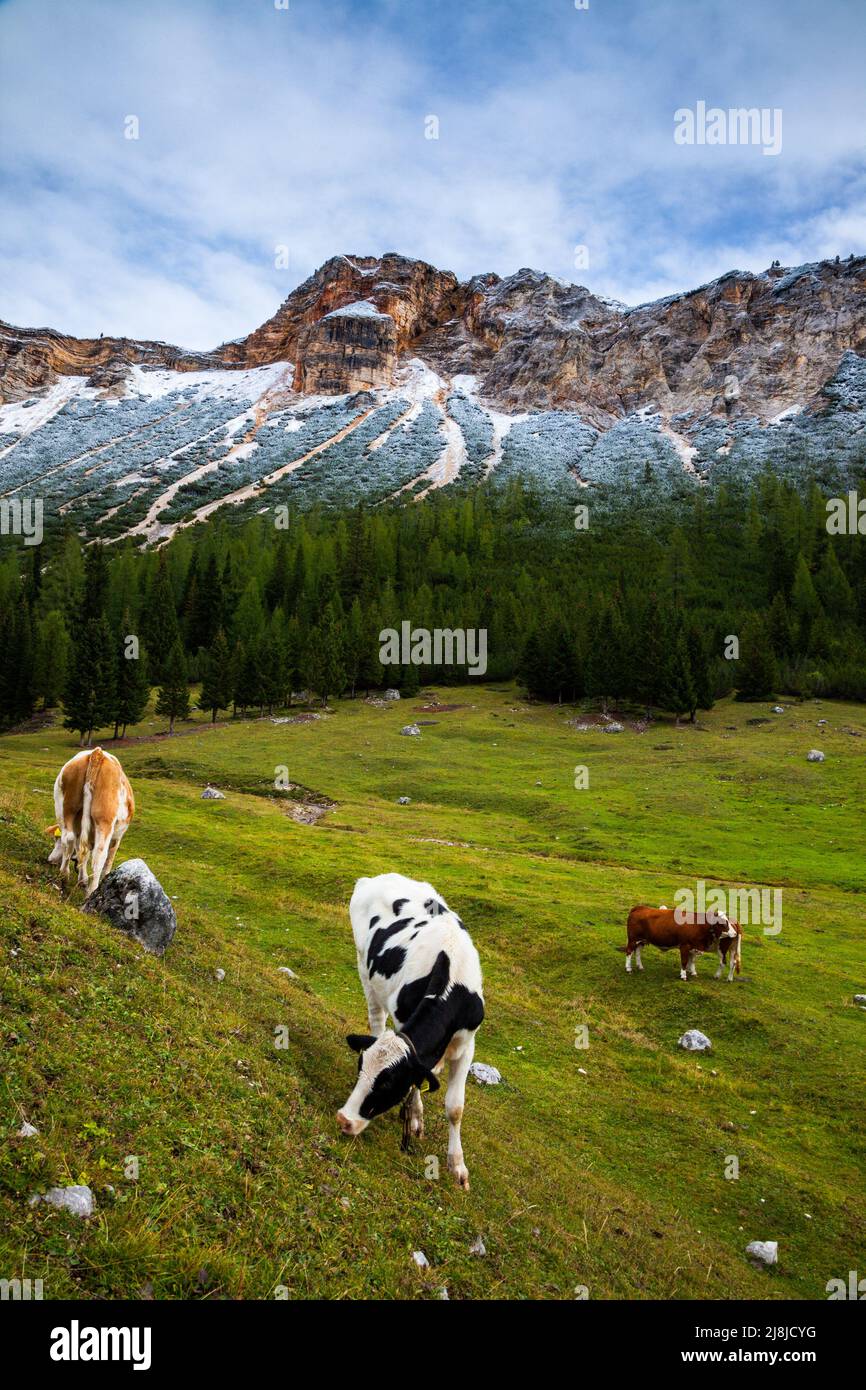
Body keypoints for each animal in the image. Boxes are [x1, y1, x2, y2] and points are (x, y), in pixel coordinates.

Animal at [47, 748, 135, 897]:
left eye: (55, 839)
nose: (50, 860)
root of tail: (97, 753)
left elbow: (81, 852)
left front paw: (82, 880)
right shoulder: (116, 838)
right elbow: (108, 861)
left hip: (65, 808)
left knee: (69, 839)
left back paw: (64, 875)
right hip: (105, 820)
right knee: (99, 855)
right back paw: (92, 892)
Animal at [337, 872, 484, 1190]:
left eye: (388, 1083)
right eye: (360, 1068)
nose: (344, 1120)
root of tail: (376, 877)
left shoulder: (467, 1044)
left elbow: (455, 1107)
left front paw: (458, 1167)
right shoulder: (404, 1022)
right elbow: (419, 1079)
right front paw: (414, 1117)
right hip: (364, 969)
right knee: (376, 1018)